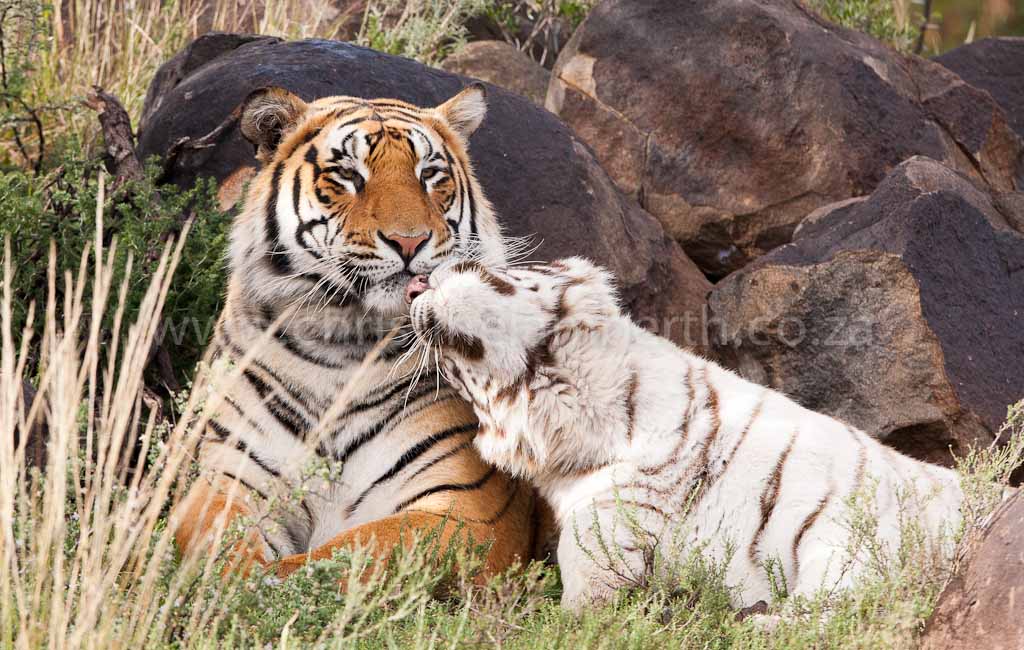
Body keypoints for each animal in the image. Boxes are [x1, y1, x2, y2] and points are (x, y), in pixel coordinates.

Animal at [170, 85, 541, 579]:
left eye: (429, 174)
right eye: (348, 174)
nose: (409, 241)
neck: (343, 345)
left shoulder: (467, 508)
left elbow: (350, 553)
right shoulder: (231, 473)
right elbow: (223, 544)